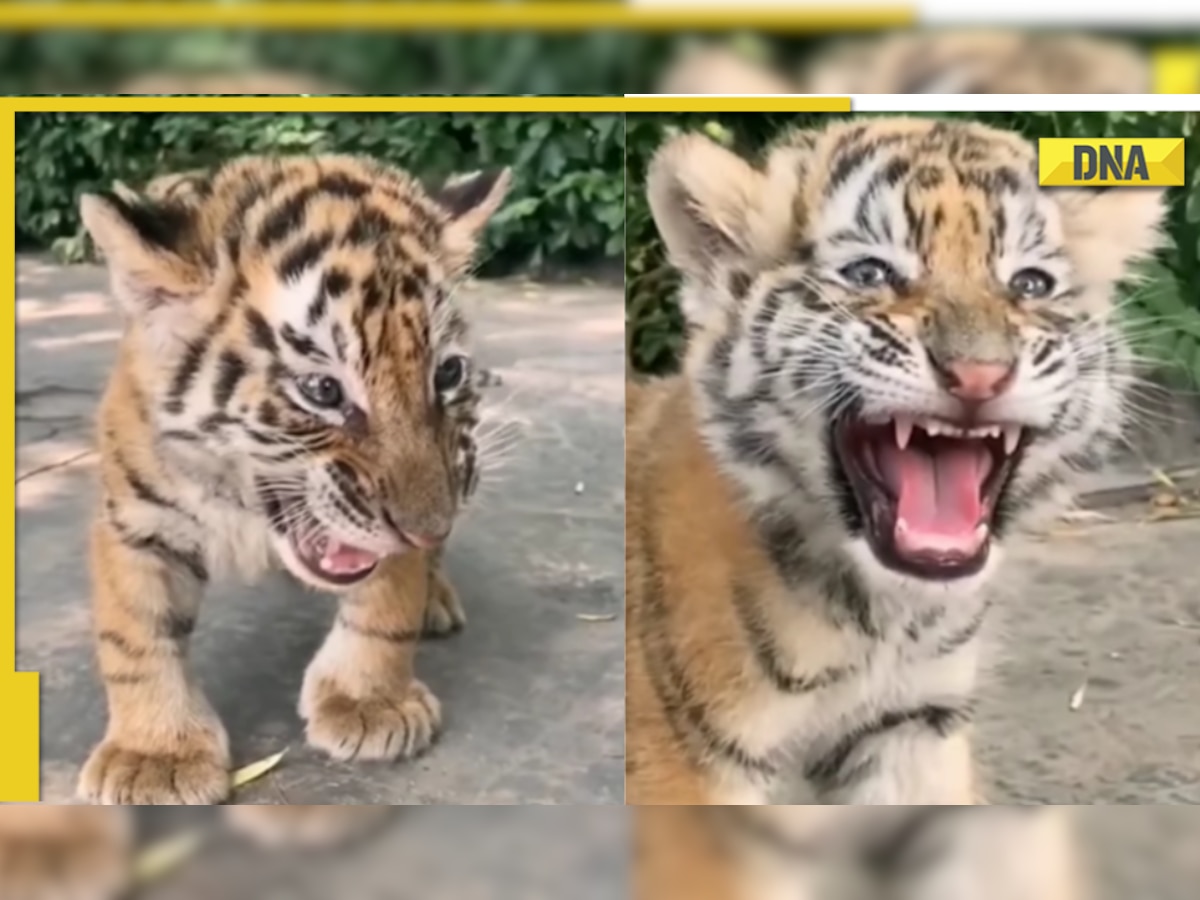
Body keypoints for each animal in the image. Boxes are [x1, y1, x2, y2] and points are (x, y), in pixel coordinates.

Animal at [73, 152, 510, 804]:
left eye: (447, 374)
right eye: (323, 390)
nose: (429, 529)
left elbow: (386, 604)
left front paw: (368, 702)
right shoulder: (134, 520)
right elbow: (136, 636)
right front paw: (156, 756)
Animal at [625, 116, 1163, 814]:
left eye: (1030, 284)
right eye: (871, 272)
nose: (979, 373)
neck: (884, 621)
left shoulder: (910, 726)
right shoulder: (690, 761)